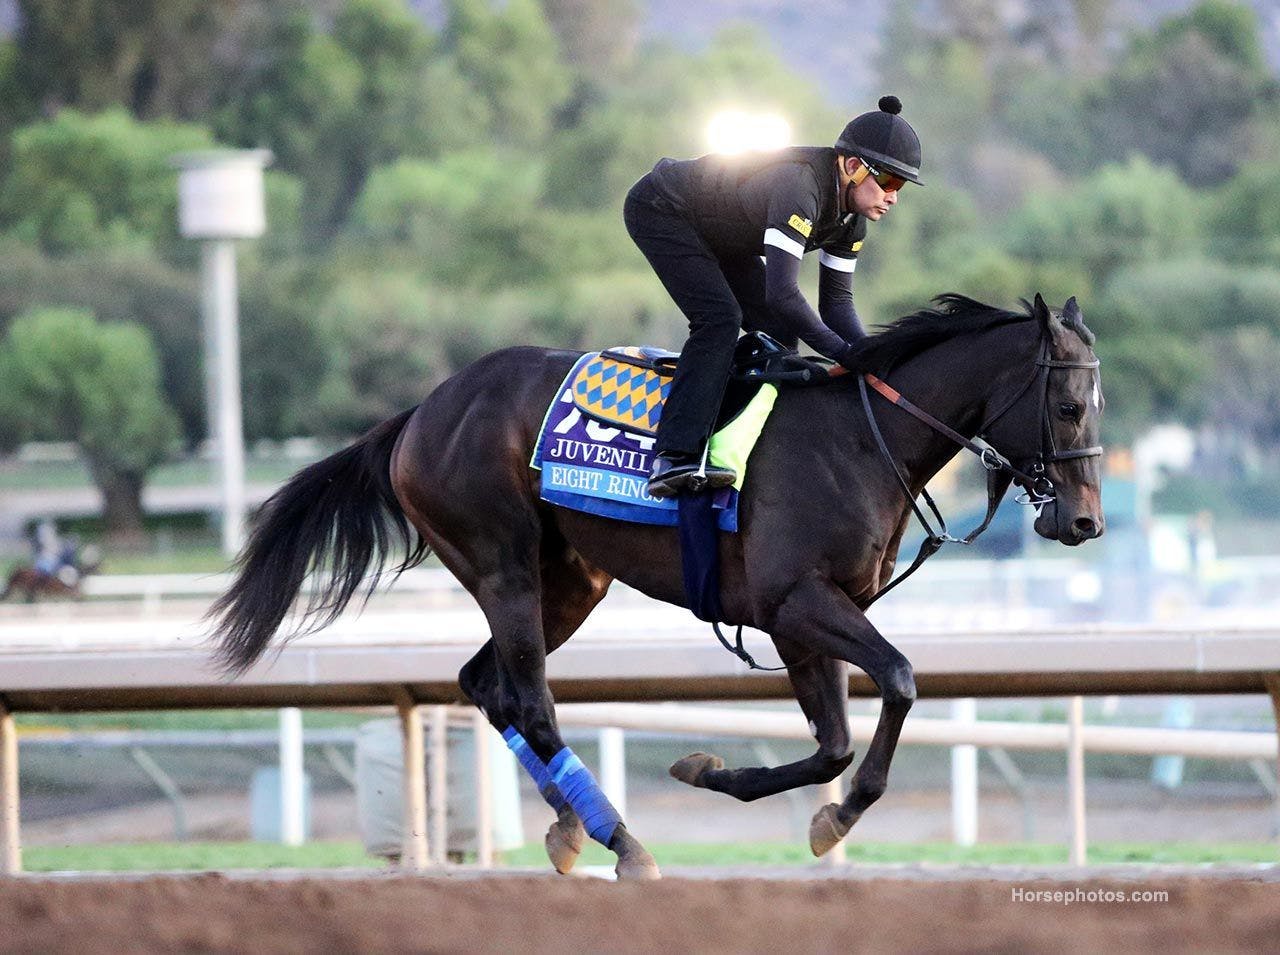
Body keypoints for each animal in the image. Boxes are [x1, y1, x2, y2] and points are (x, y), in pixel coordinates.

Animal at [209, 292, 1104, 880]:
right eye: (1067, 405)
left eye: (1099, 402)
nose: (1085, 521)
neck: (859, 437)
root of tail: (421, 413)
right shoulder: (796, 600)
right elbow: (899, 680)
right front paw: (831, 811)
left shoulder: (800, 616)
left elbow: (833, 744)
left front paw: (728, 777)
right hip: (500, 562)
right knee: (530, 699)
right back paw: (621, 841)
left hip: (570, 581)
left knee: (485, 684)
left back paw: (570, 824)